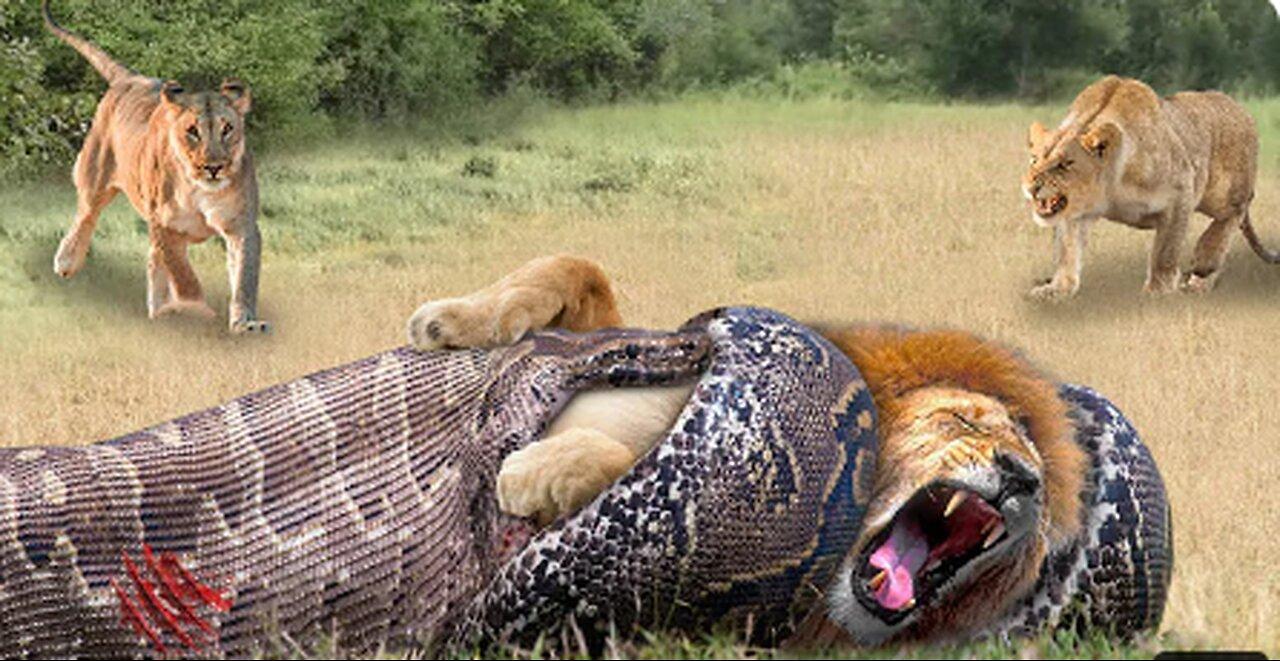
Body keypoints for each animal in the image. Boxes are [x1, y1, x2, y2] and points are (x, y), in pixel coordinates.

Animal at [43, 0, 268, 333]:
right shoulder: (164, 224)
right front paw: (194, 309)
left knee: (152, 260)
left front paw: (245, 324)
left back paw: (159, 311)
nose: (214, 167)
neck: (199, 188)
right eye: (192, 131)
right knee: (85, 214)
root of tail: (130, 78)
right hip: (93, 174)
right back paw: (66, 262)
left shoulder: (241, 225)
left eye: (227, 128)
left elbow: (244, 278)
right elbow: (184, 275)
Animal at [405, 254, 1086, 645]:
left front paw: (537, 470)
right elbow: (576, 265)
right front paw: (449, 319)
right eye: (962, 421)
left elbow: (619, 463)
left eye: (1044, 483)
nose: (1022, 476)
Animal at [1022, 75, 1278, 299]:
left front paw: (1157, 291)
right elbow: (1067, 252)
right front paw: (1056, 290)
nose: (1029, 186)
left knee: (1234, 213)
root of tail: (1242, 110)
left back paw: (1203, 267)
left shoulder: (1181, 191)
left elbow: (1165, 251)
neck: (1109, 188)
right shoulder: (1074, 213)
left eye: (1065, 164)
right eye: (1034, 159)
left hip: (1223, 193)